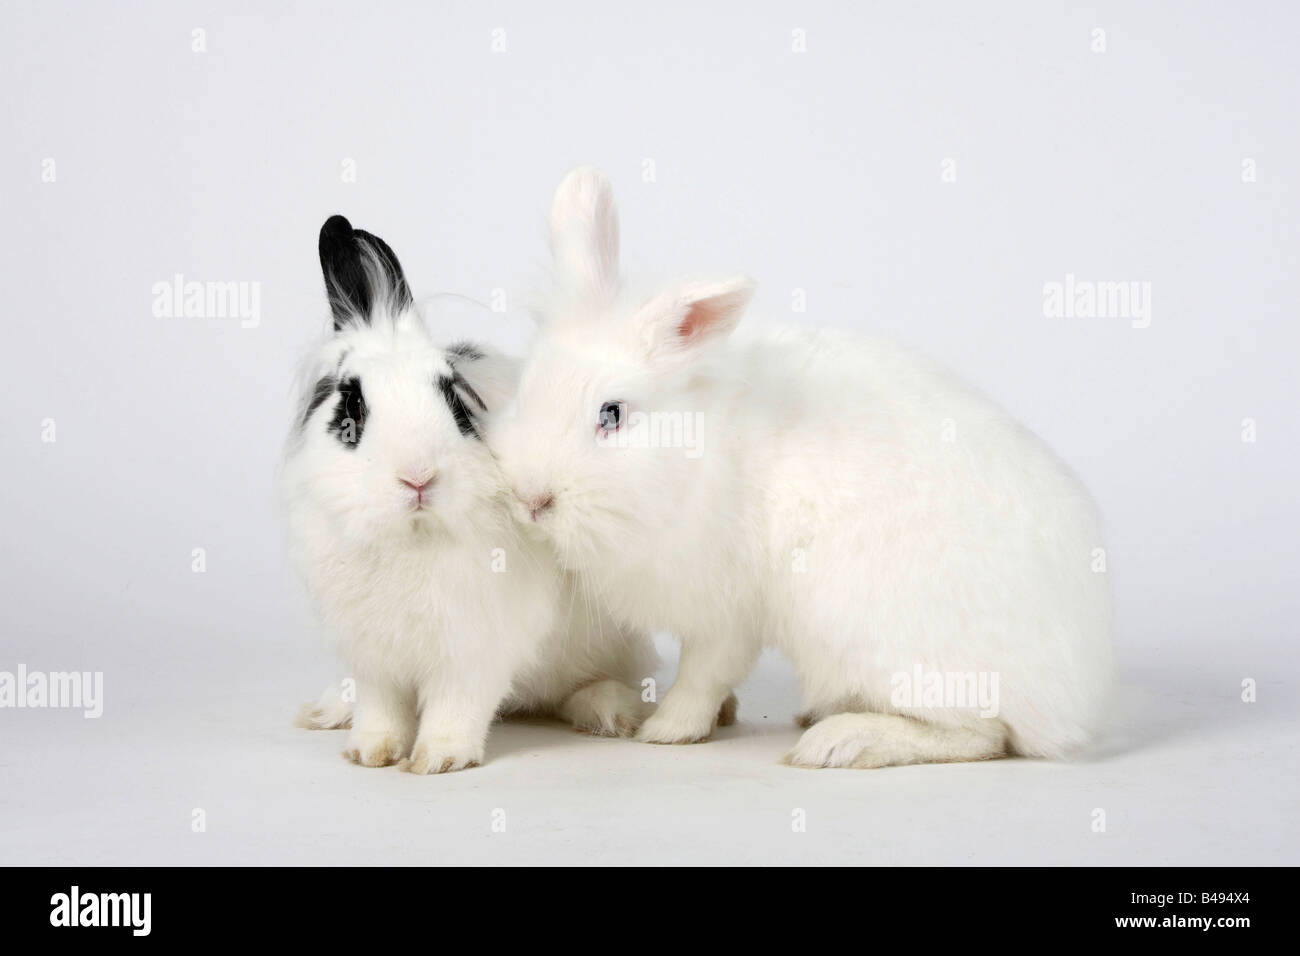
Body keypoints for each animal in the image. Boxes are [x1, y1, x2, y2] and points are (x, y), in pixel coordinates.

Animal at [284, 214, 655, 773]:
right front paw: (371, 752)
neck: (413, 536)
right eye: (351, 409)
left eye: (454, 399)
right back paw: (323, 711)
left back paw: (610, 710)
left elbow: (457, 704)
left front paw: (436, 758)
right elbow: (381, 706)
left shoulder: (474, 648)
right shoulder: (372, 656)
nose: (418, 477)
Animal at [490, 167, 1116, 769]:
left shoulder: (727, 611)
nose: (532, 499)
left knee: (982, 733)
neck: (695, 449)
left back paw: (841, 742)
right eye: (525, 393)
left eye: (612, 414)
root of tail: (1073, 694)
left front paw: (666, 731)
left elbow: (702, 675)